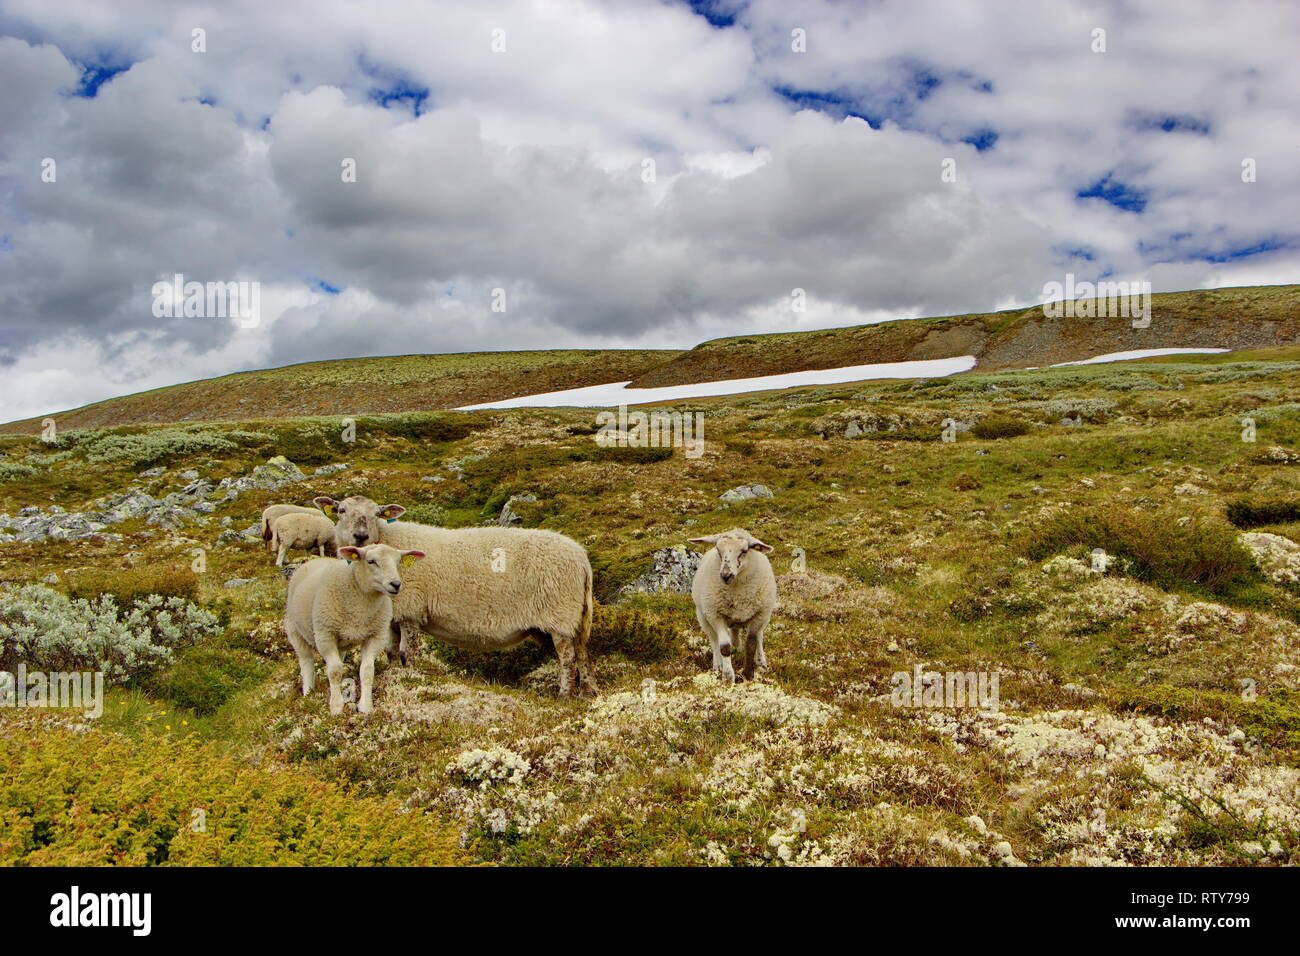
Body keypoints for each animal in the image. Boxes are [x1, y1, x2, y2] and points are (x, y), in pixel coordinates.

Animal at [283, 543, 426, 715]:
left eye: (398, 562)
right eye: (371, 561)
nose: (396, 584)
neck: (360, 609)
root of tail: (314, 561)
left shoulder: (375, 636)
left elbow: (367, 671)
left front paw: (365, 706)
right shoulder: (325, 636)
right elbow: (334, 671)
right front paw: (336, 707)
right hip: (294, 630)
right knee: (307, 663)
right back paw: (308, 693)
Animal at [314, 495, 598, 696]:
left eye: (376, 514)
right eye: (341, 511)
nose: (360, 536)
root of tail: (581, 557)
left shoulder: (412, 609)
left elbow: (407, 652)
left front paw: (410, 677)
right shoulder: (394, 615)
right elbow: (391, 652)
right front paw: (393, 675)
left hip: (559, 613)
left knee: (567, 658)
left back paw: (565, 694)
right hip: (567, 617)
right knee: (582, 652)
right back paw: (588, 691)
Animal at [688, 528, 777, 683]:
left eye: (744, 550)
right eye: (718, 550)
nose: (726, 575)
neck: (737, 592)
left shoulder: (760, 614)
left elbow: (751, 644)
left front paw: (748, 674)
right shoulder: (715, 615)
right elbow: (724, 647)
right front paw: (728, 676)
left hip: (763, 616)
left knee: (759, 636)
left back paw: (761, 662)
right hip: (703, 617)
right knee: (714, 640)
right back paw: (717, 666)